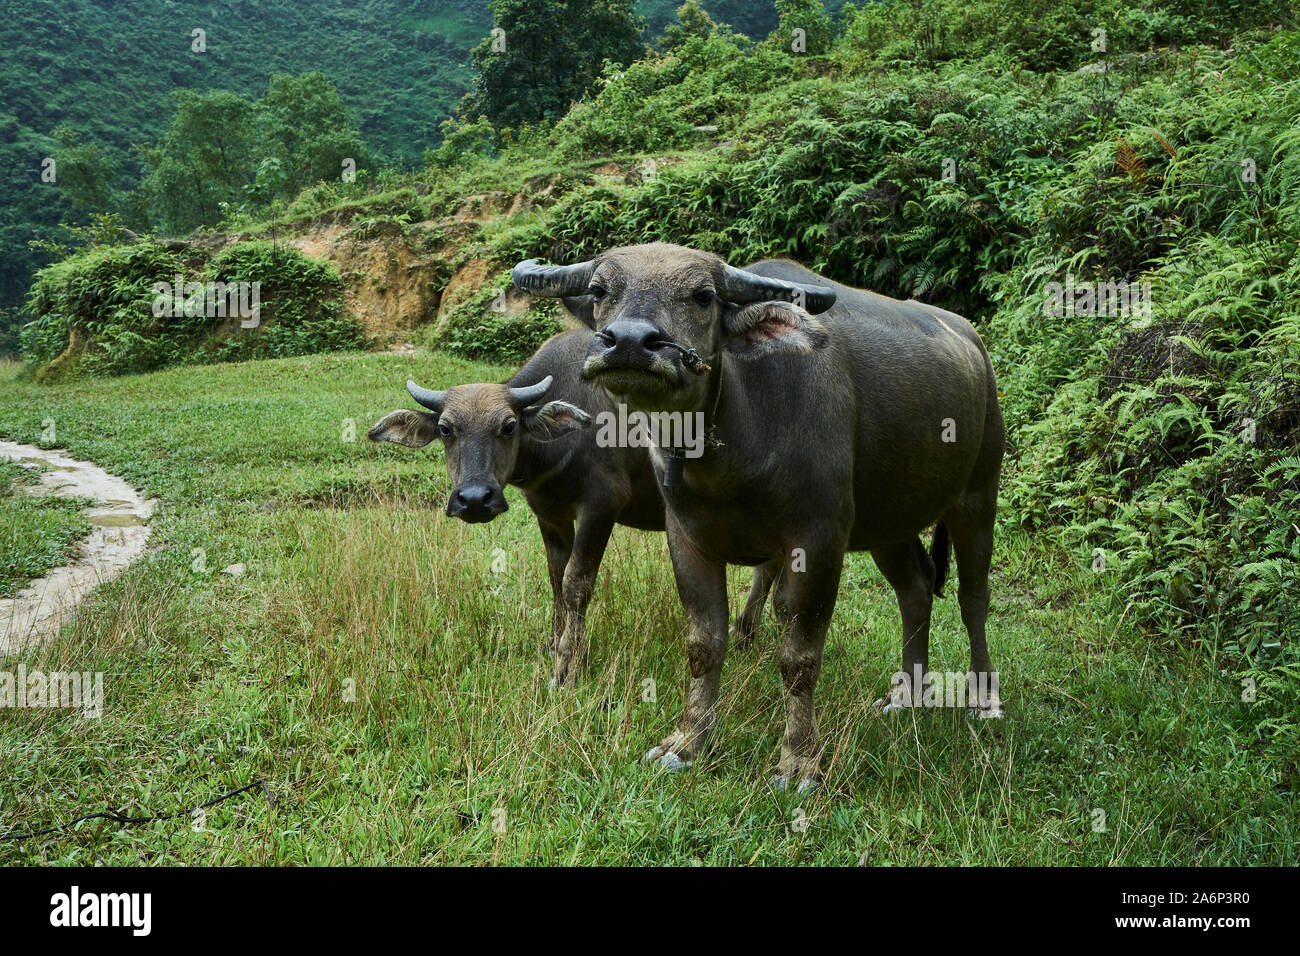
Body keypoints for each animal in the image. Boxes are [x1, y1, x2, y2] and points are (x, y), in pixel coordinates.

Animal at [367, 328, 774, 688]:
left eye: (509, 426)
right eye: (446, 429)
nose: (475, 499)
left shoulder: (602, 506)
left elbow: (576, 582)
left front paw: (569, 666)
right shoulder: (550, 515)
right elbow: (555, 577)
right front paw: (554, 643)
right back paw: (746, 634)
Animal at [513, 243, 1005, 791]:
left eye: (703, 297)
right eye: (600, 291)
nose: (630, 342)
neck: (732, 445)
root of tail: (975, 346)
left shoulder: (819, 539)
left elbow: (799, 657)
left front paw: (799, 761)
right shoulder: (686, 539)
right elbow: (703, 644)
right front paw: (686, 743)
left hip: (978, 494)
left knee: (973, 597)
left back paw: (984, 700)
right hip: (888, 522)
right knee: (915, 588)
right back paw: (907, 696)